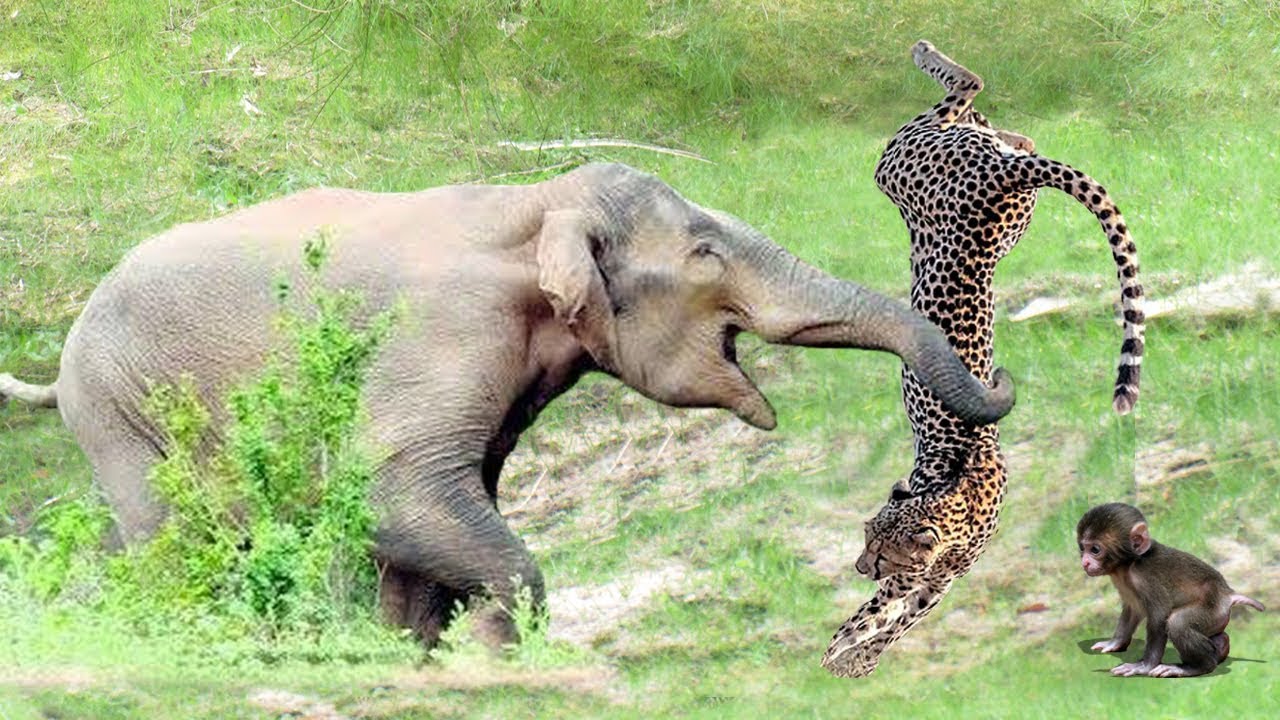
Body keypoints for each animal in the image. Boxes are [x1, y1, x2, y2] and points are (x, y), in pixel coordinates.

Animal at [0, 162, 1014, 645]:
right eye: (705, 255)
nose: (1002, 382)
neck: (536, 203)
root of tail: (62, 361)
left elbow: (426, 514)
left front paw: (422, 656)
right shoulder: (444, 333)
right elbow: (399, 491)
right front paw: (494, 644)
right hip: (123, 411)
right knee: (177, 542)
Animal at [1077, 502, 1265, 678]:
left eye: (1095, 549)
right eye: (1082, 548)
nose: (1084, 562)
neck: (1129, 564)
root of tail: (1227, 594)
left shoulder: (1146, 579)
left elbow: (1160, 616)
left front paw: (1144, 666)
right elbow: (1133, 610)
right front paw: (1114, 643)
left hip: (1213, 610)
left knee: (1177, 622)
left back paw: (1196, 667)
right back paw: (1221, 647)